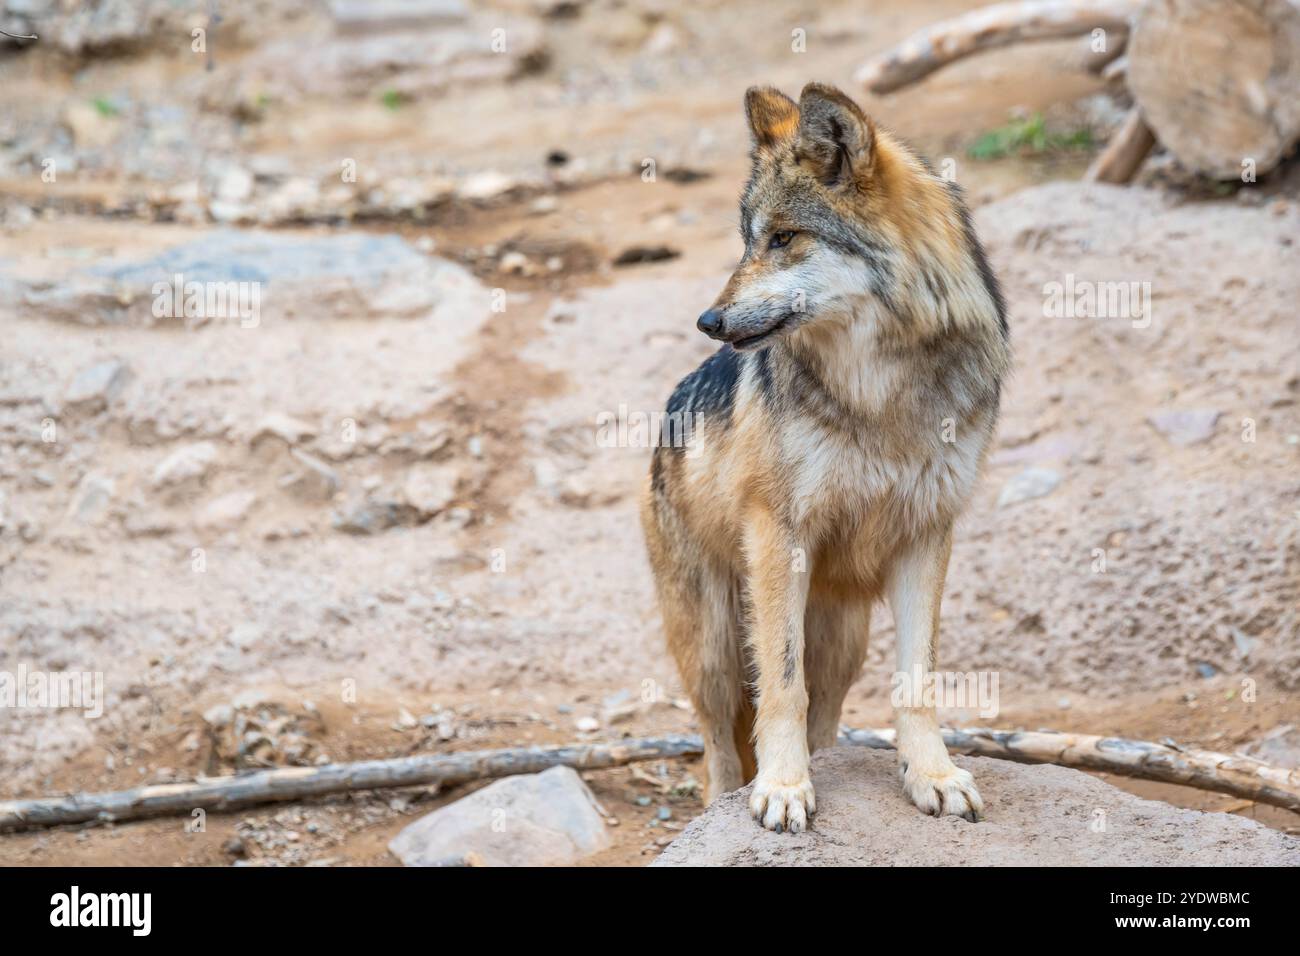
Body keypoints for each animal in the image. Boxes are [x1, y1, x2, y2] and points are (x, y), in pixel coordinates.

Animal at [640, 83, 1010, 832]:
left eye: (784, 237)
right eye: (748, 239)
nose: (708, 322)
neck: (880, 390)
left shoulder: (929, 534)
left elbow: (917, 682)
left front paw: (931, 775)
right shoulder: (777, 533)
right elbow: (783, 686)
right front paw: (783, 788)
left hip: (842, 641)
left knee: (827, 717)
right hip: (714, 645)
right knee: (719, 742)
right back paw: (725, 801)